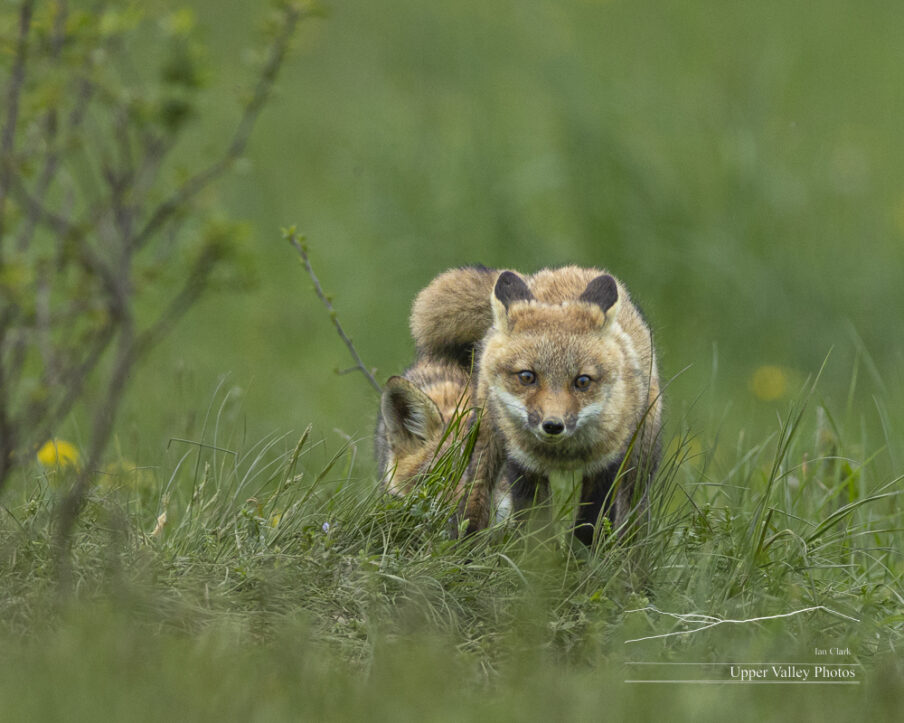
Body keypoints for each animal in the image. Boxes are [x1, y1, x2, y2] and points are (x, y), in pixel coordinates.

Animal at [410, 265, 662, 544]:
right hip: (487, 441)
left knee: (633, 516)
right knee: (475, 497)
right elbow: (535, 529)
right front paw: (537, 556)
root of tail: (559, 271)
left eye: (582, 381)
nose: (552, 425)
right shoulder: (523, 464)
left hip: (640, 462)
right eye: (527, 376)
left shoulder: (606, 465)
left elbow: (588, 529)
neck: (561, 454)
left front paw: (578, 556)